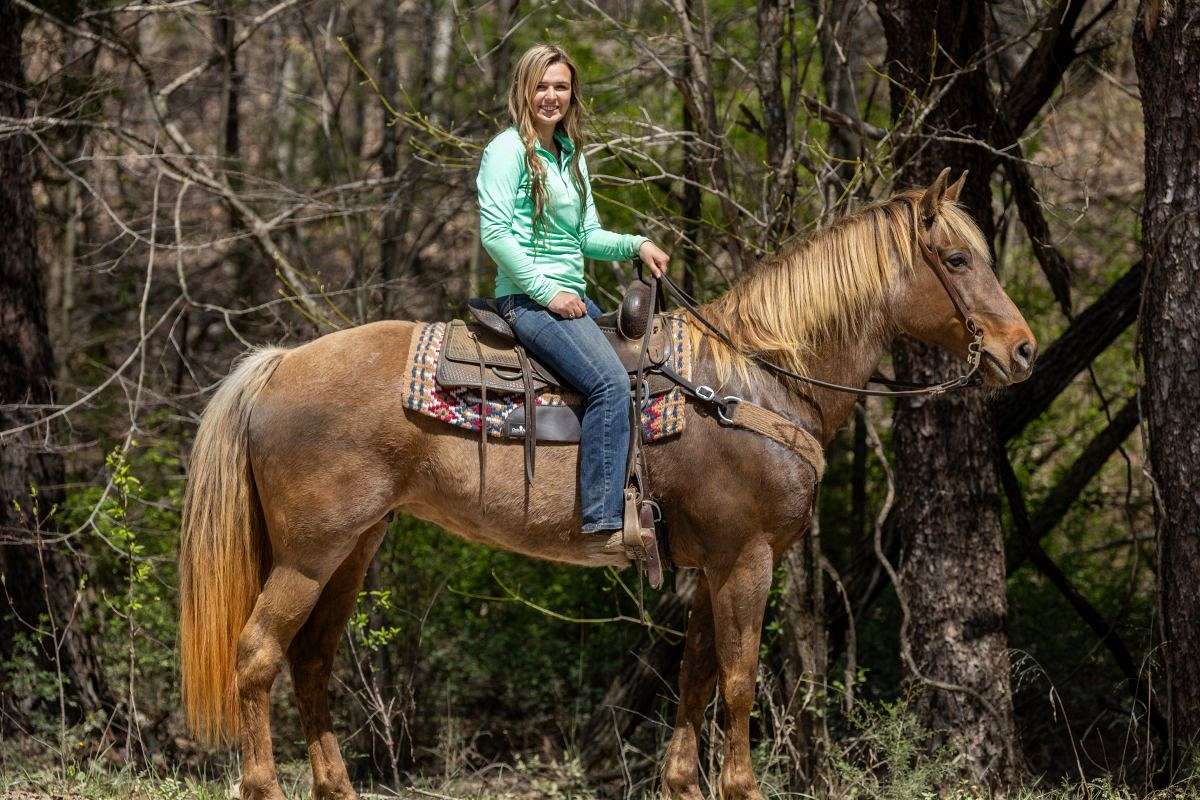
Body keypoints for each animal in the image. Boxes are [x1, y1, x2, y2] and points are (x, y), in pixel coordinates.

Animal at [177, 169, 1036, 800]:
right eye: (958, 261)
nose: (1023, 349)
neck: (752, 381)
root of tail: (280, 363)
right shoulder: (748, 559)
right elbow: (738, 682)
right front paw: (742, 787)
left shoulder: (710, 565)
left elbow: (694, 679)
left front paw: (685, 785)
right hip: (309, 554)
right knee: (258, 654)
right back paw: (263, 785)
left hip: (352, 549)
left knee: (312, 659)